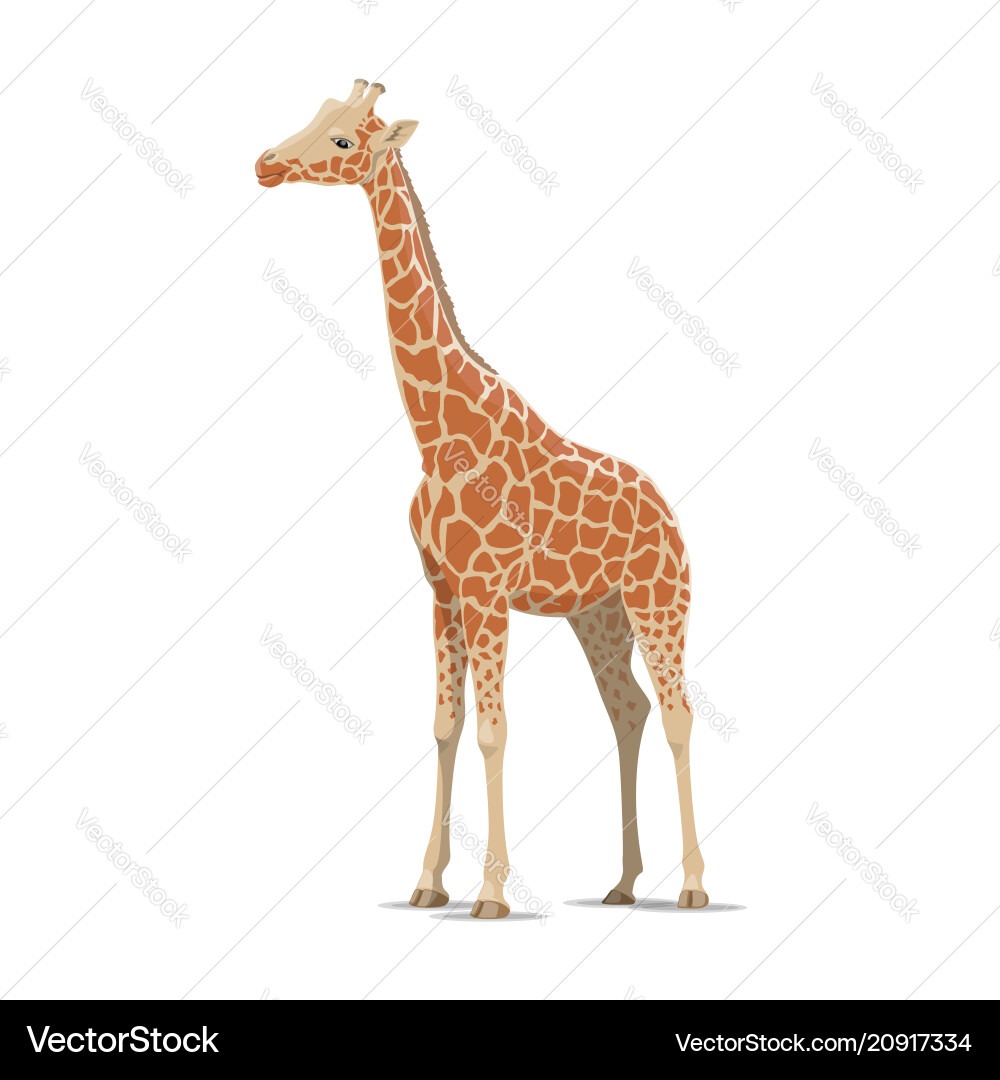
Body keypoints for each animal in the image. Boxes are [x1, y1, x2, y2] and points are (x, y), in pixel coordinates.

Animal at [255, 80, 709, 918]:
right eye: (317, 115)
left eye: (343, 140)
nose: (266, 163)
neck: (437, 434)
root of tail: (668, 511)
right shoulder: (442, 588)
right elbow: (445, 724)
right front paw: (428, 883)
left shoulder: (488, 586)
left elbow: (495, 731)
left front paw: (492, 895)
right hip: (596, 616)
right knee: (626, 712)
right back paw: (624, 883)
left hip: (659, 600)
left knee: (676, 714)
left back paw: (693, 885)